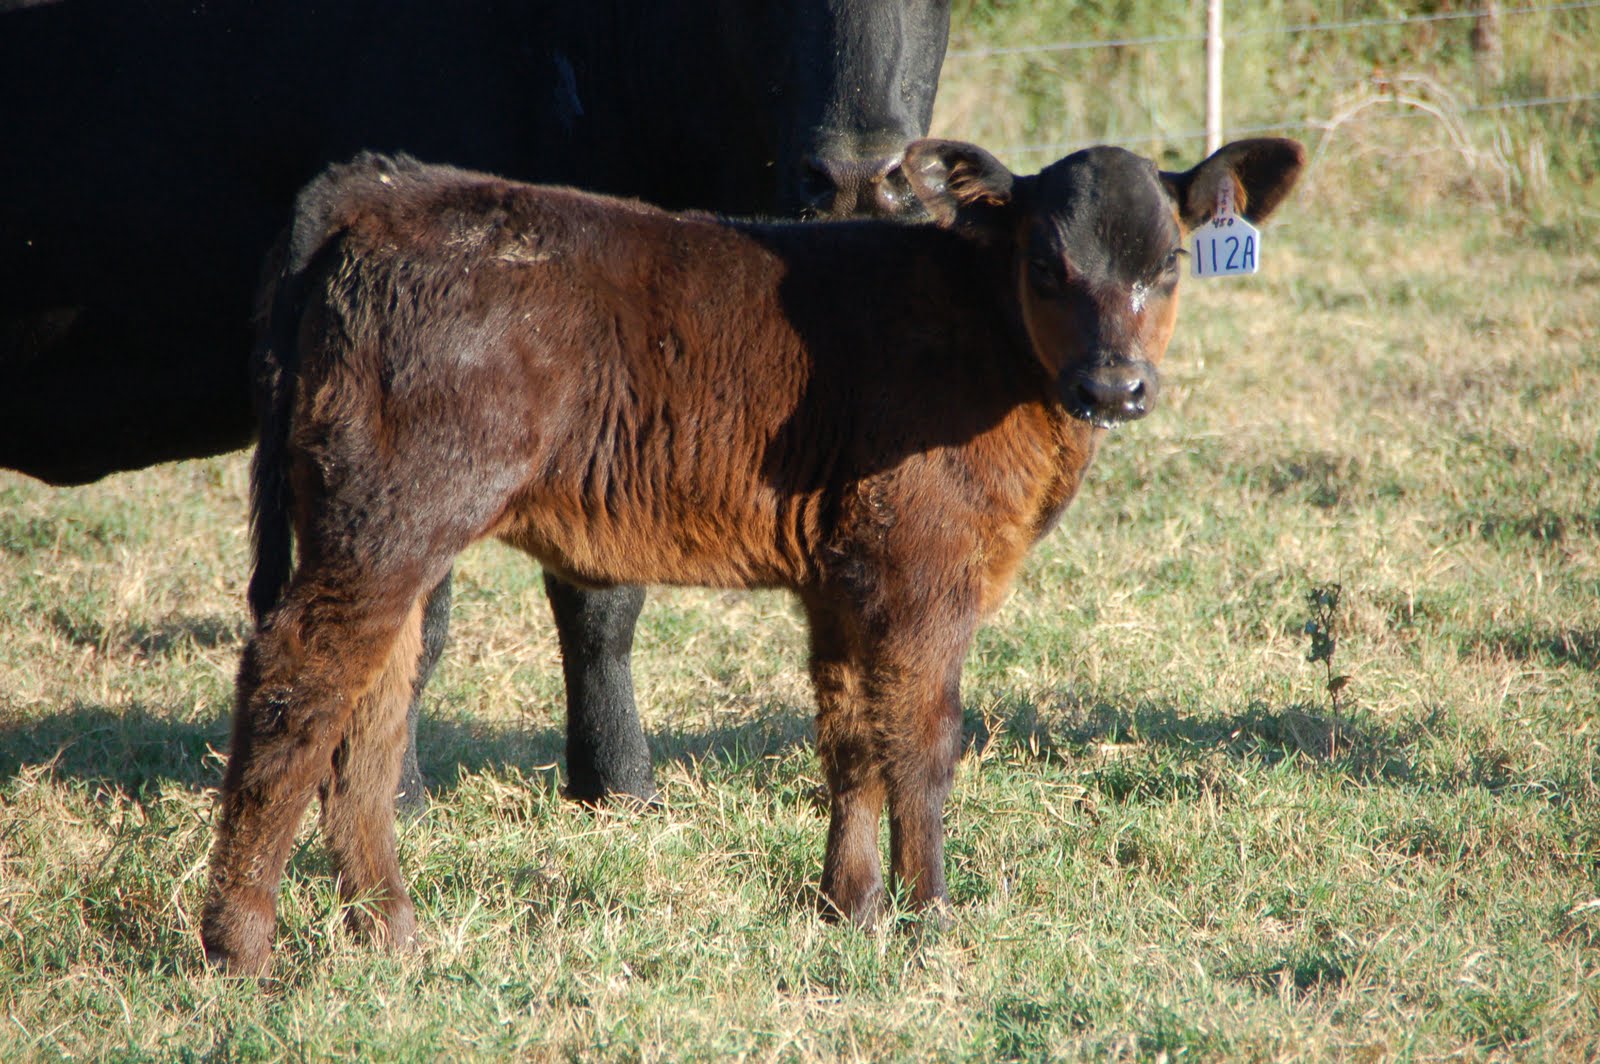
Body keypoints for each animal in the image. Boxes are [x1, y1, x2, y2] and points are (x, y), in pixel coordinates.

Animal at [199, 136, 1306, 974]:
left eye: (1168, 264)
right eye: (1046, 265)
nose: (1116, 385)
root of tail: (383, 188)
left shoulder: (845, 573)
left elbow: (850, 734)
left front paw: (850, 905)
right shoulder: (923, 564)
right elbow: (925, 737)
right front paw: (930, 916)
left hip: (386, 529)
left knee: (374, 706)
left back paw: (390, 932)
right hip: (392, 514)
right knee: (295, 680)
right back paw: (241, 945)